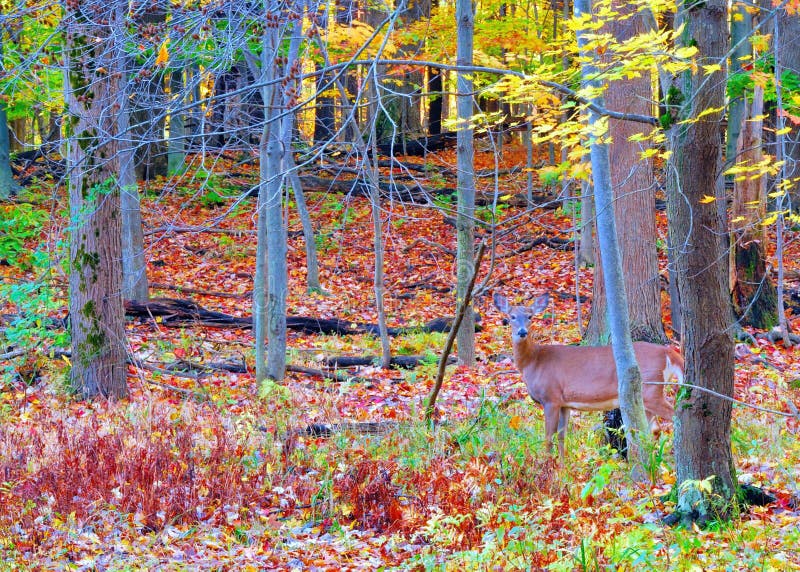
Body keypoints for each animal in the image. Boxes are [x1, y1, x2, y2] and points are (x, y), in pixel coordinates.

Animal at [493, 292, 683, 458]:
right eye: (512, 316)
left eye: (530, 316)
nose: (522, 332)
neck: (534, 361)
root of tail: (668, 353)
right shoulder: (564, 403)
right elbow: (562, 436)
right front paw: (562, 467)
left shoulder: (551, 397)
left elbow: (548, 438)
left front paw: (547, 467)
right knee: (654, 429)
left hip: (651, 389)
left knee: (673, 417)